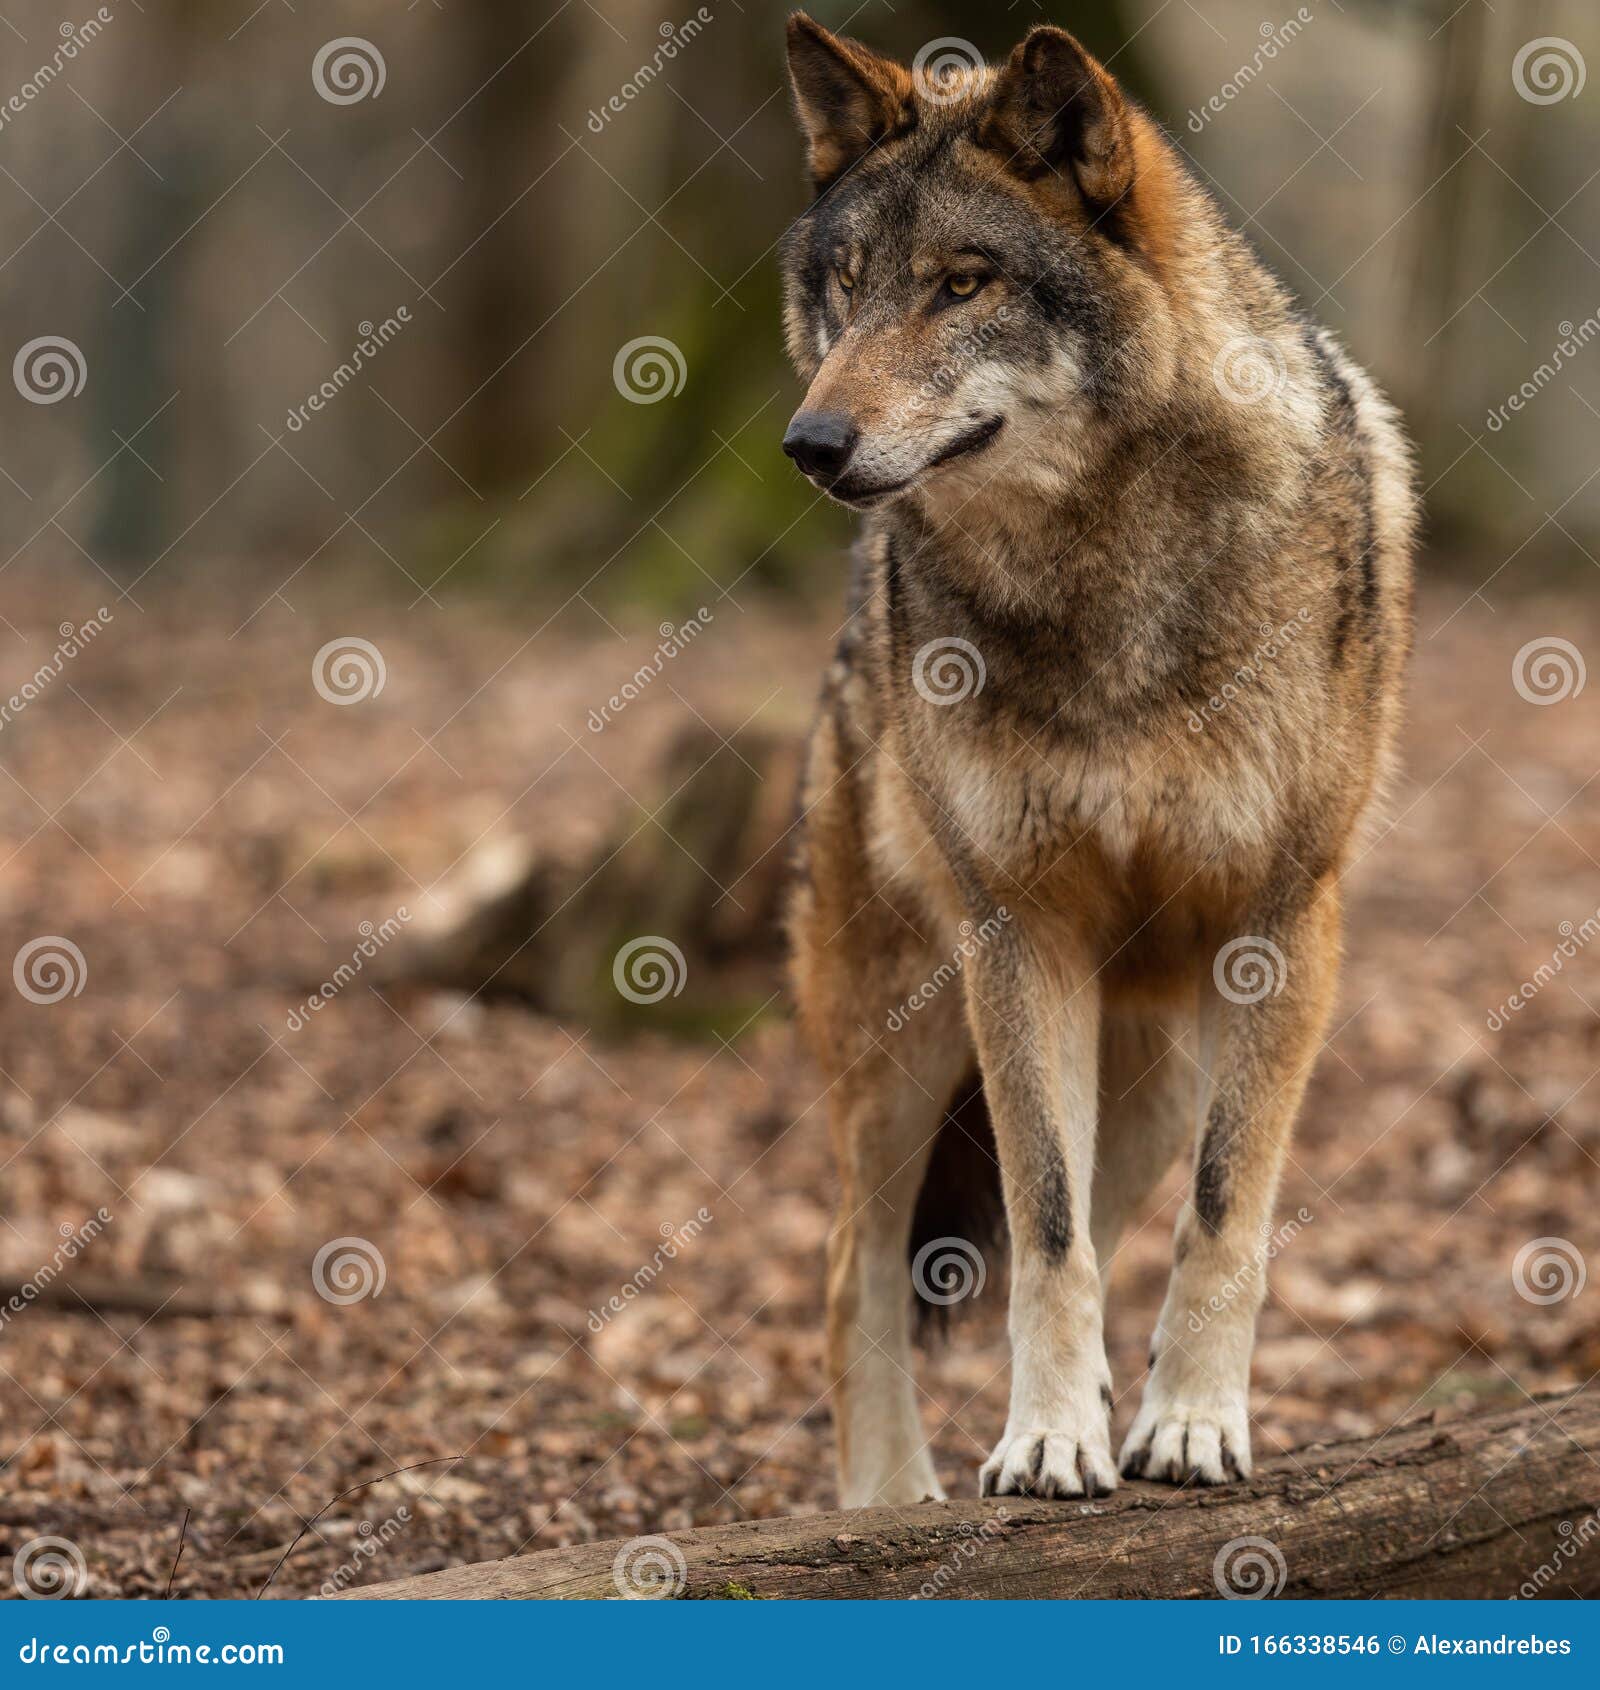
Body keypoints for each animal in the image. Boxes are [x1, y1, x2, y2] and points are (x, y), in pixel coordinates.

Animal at [779, 12, 1416, 1505]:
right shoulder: (1020, 933)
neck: (1103, 577)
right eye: (846, 284)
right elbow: (1046, 1229)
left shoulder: (1283, 927)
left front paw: (1187, 1426)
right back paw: (888, 1503)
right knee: (848, 1272)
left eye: (962, 283)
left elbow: (1224, 1215)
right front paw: (1049, 1440)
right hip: (903, 1036)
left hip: (1158, 1075)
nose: (810, 444)